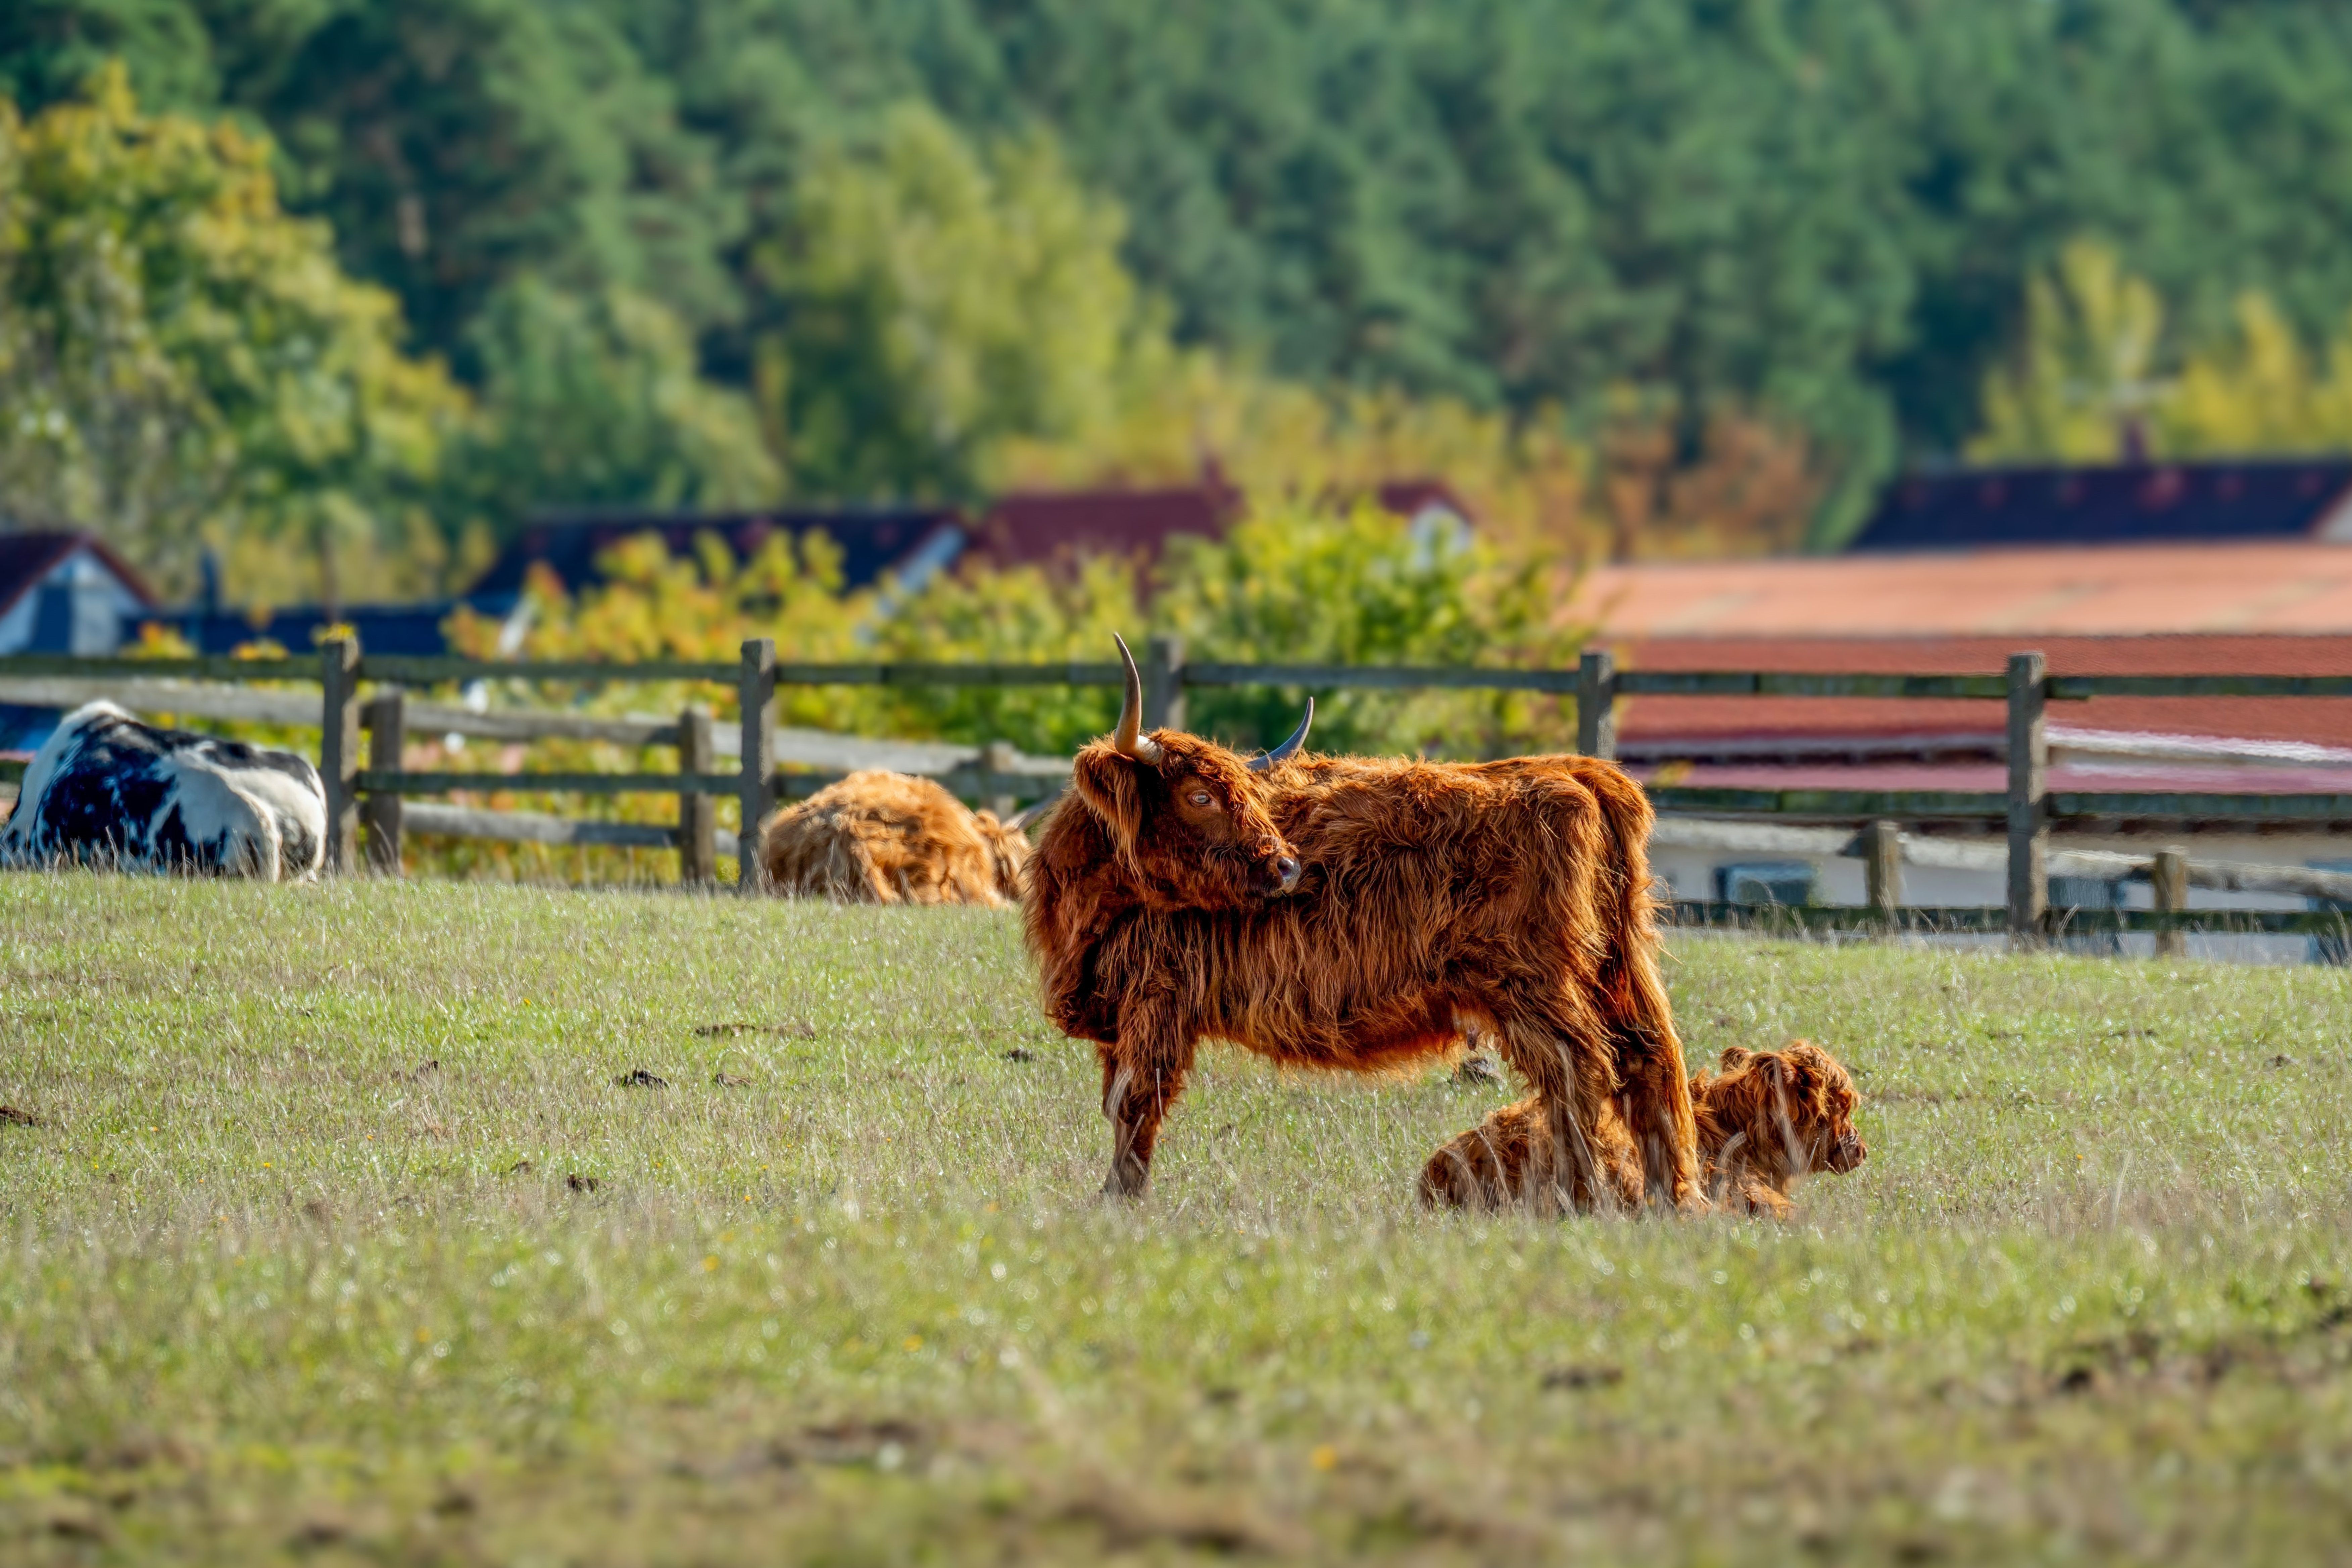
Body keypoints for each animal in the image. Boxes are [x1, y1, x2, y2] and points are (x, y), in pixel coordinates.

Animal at [1023, 636, 1700, 1210]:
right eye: (1200, 796)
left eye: (1239, 794)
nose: (1287, 865)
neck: (1087, 907)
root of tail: (1577, 771)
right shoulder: (1123, 1011)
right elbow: (1119, 1103)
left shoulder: (1157, 999)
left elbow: (1136, 1103)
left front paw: (1118, 1202)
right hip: (1616, 963)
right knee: (1650, 1058)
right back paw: (1671, 1201)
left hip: (1531, 980)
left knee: (1580, 1070)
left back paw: (1578, 1199)